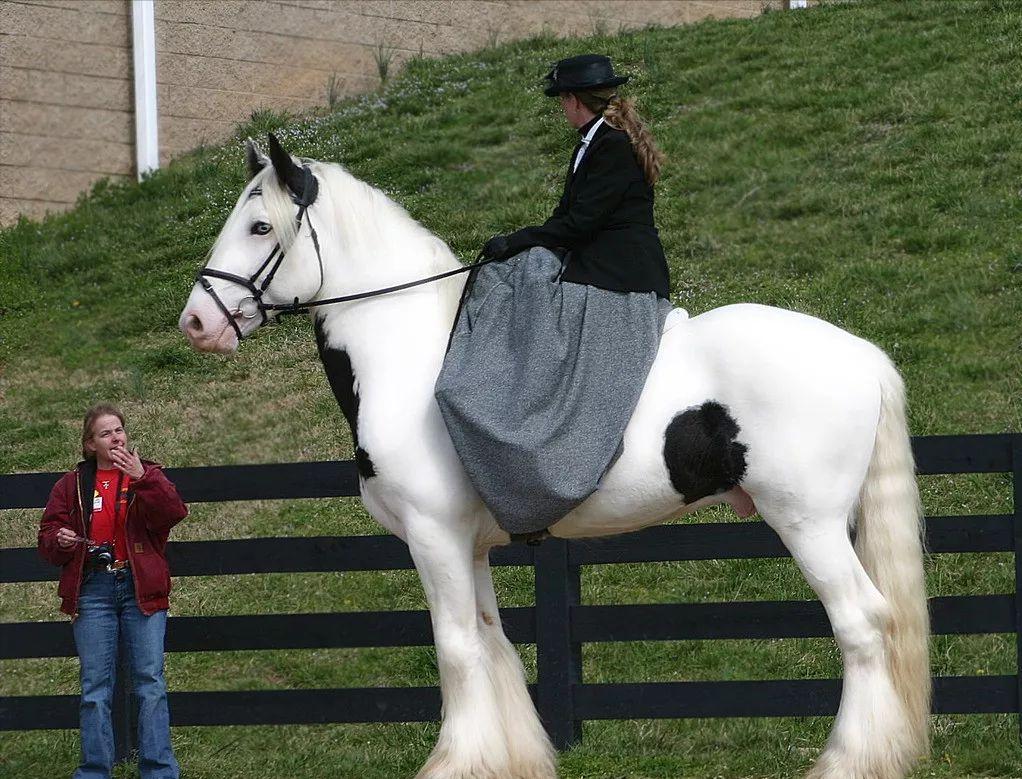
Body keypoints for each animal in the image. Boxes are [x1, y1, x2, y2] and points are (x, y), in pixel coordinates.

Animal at [178, 134, 930, 779]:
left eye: (260, 228)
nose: (196, 322)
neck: (411, 354)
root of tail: (862, 354)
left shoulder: (432, 537)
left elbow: (456, 648)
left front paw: (454, 763)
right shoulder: (469, 547)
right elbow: (492, 643)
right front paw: (509, 758)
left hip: (808, 524)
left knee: (863, 625)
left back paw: (849, 760)